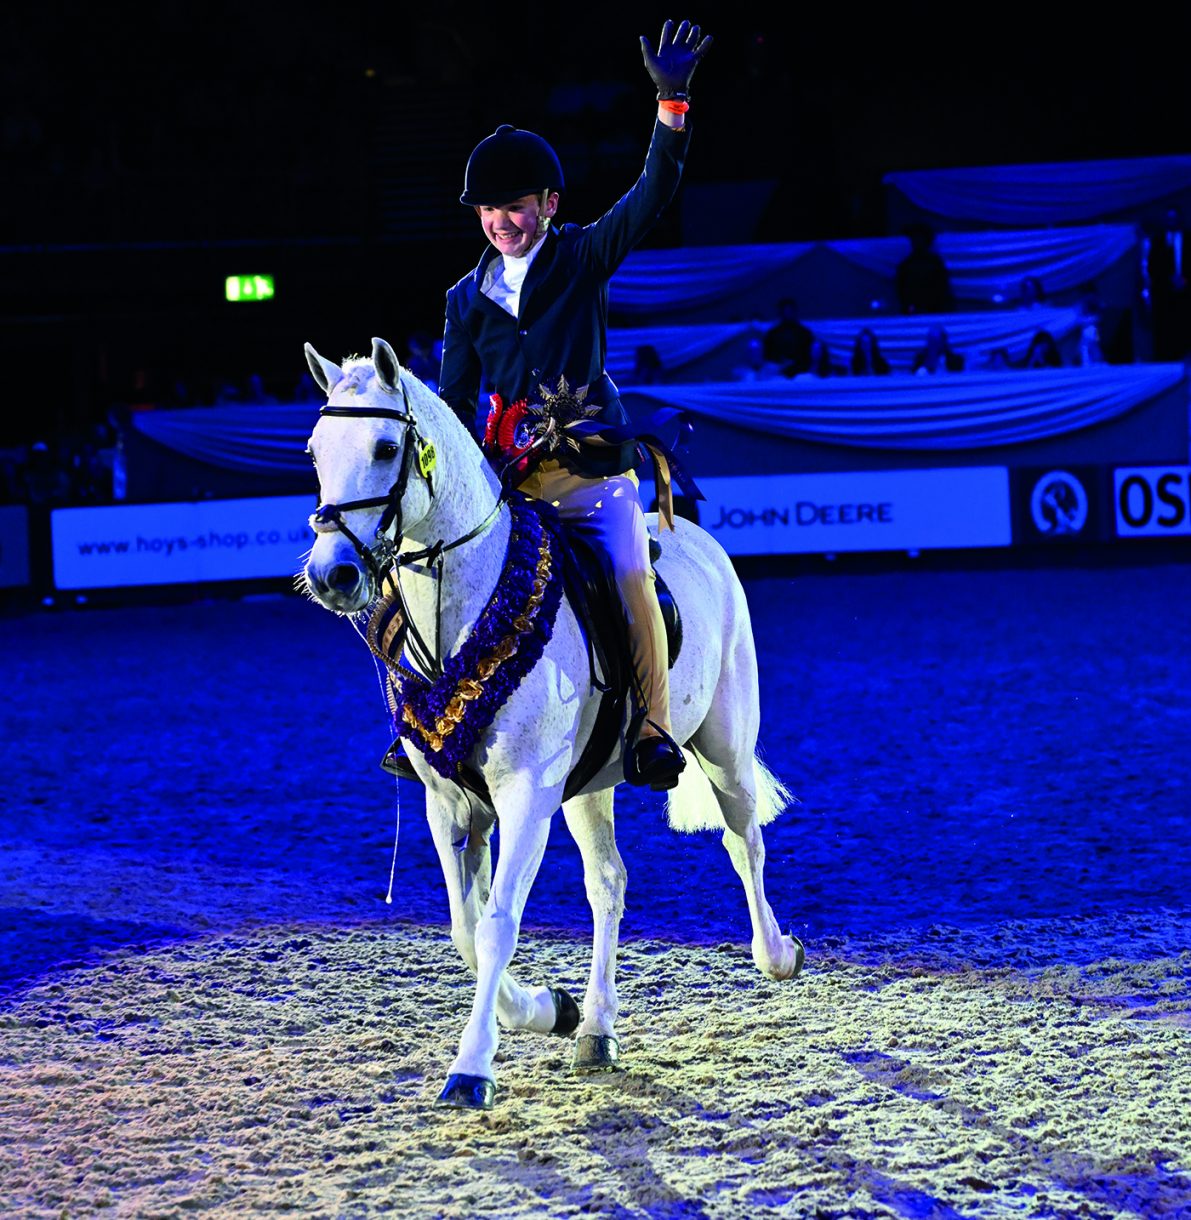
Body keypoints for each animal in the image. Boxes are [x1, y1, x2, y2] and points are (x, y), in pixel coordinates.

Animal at [301, 337, 803, 1110]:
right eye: (314, 451)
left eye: (386, 447)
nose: (333, 575)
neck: (466, 613)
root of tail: (687, 529)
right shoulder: (448, 801)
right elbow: (466, 927)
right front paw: (549, 1010)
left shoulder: (526, 794)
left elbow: (498, 925)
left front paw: (472, 1069)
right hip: (589, 786)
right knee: (609, 883)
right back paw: (595, 1028)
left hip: (724, 744)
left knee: (743, 839)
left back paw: (777, 955)